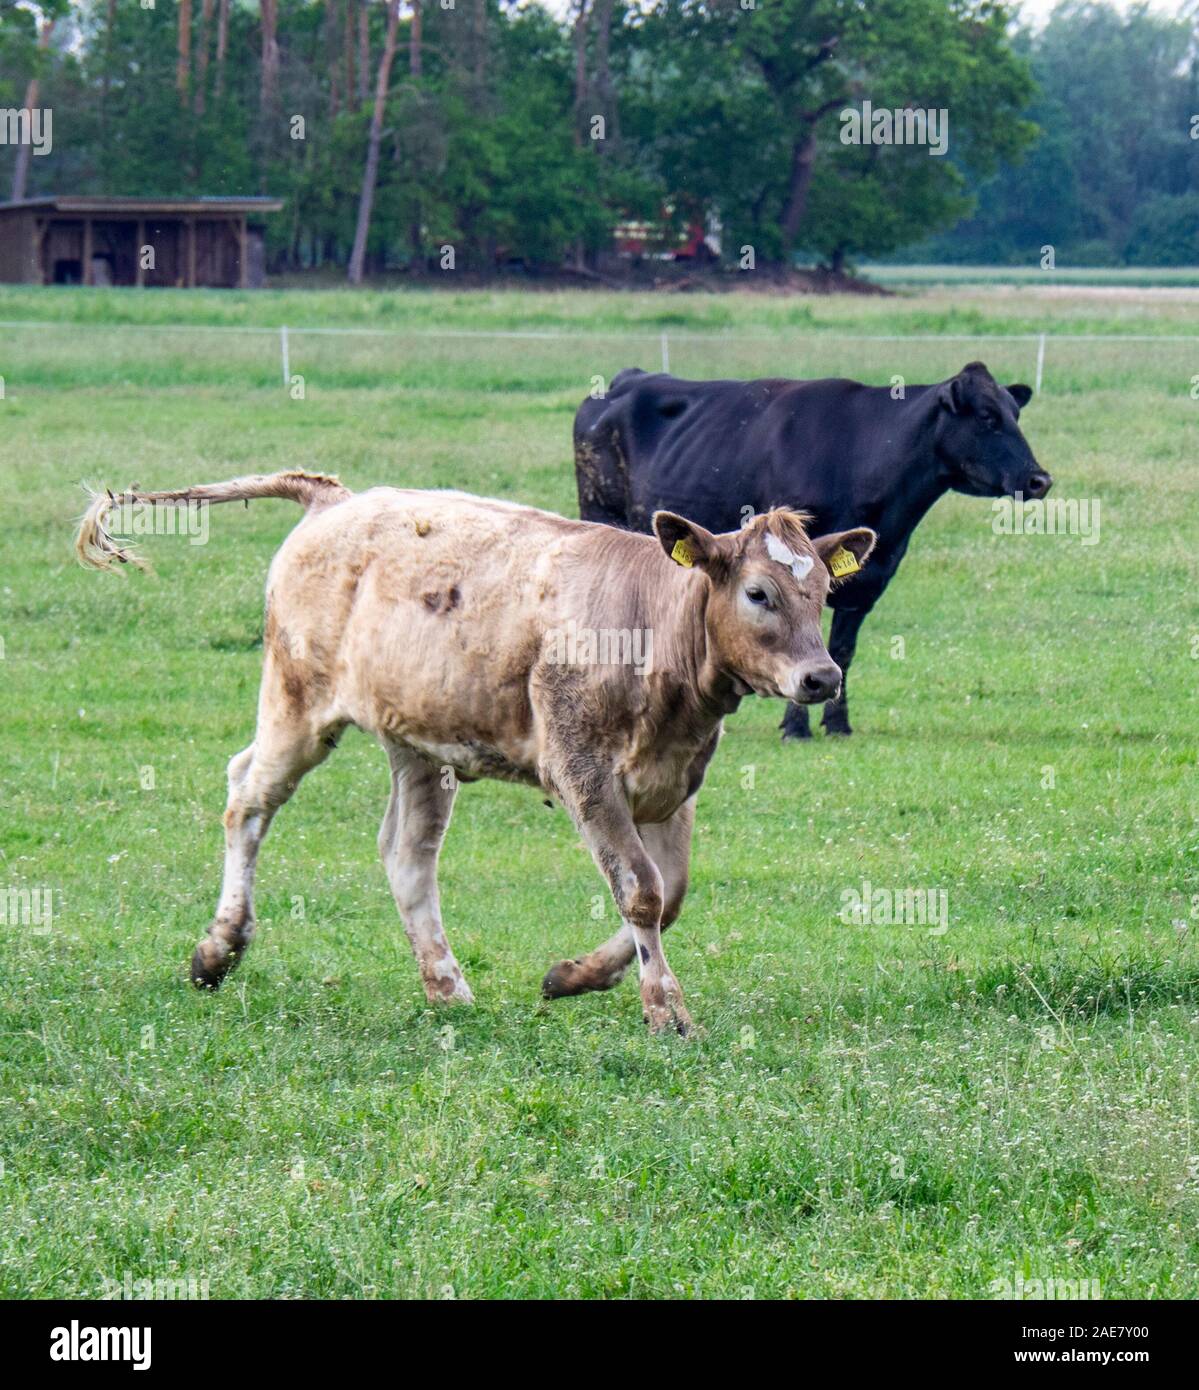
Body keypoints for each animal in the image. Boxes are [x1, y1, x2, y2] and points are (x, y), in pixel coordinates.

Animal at [75, 471, 875, 1035]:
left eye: (823, 592)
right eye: (758, 593)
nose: (821, 677)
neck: (649, 626)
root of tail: (335, 500)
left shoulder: (673, 782)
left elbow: (668, 895)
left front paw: (576, 975)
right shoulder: (585, 775)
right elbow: (641, 892)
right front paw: (664, 1007)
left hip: (417, 745)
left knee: (406, 854)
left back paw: (445, 984)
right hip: (297, 707)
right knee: (248, 798)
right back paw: (219, 949)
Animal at [574, 360, 1050, 740]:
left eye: (1015, 413)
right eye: (987, 417)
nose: (1039, 479)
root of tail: (625, 380)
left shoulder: (869, 581)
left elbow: (841, 650)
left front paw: (837, 722)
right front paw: (796, 726)